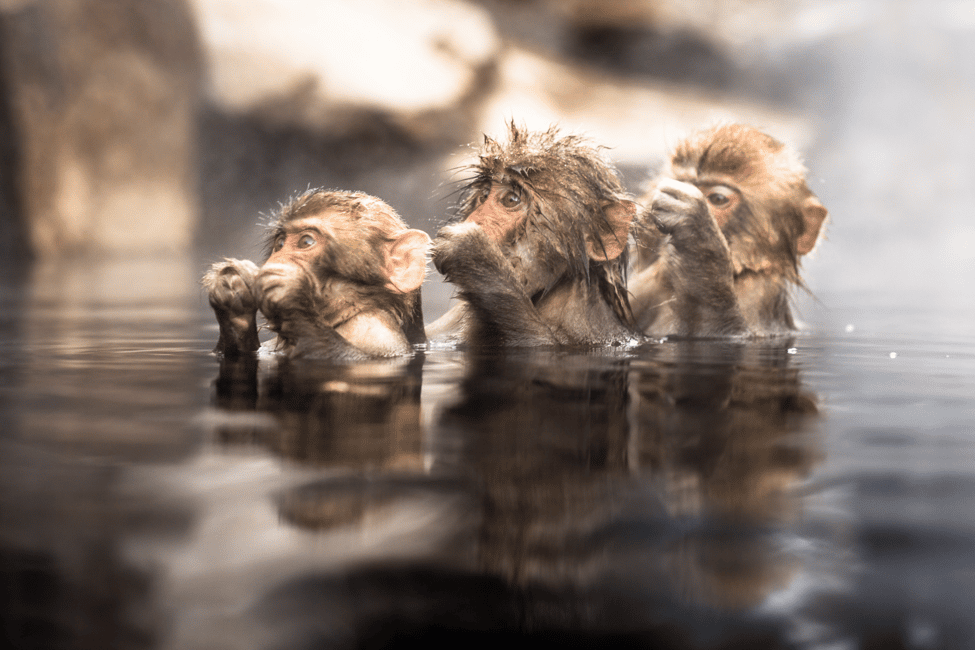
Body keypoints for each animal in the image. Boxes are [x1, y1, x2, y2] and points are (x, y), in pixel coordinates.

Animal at [202, 190, 430, 360]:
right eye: (280, 243)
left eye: (306, 242)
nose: (274, 260)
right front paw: (231, 292)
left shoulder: (376, 331)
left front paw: (288, 292)